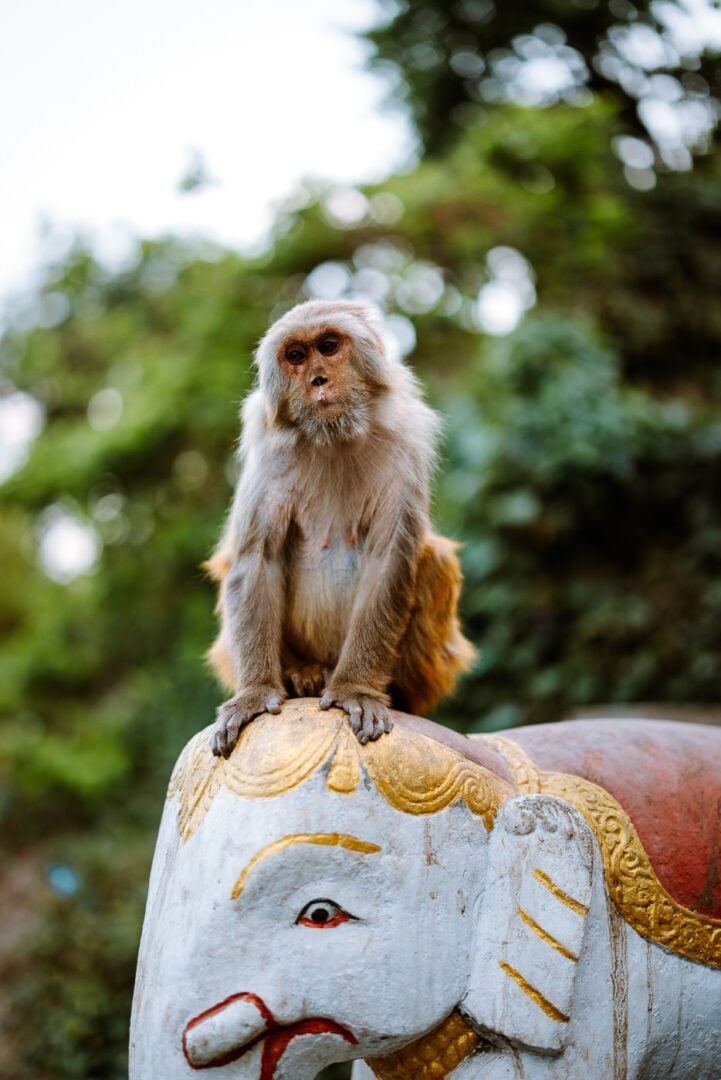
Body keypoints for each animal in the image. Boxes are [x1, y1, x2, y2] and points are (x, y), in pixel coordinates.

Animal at [206, 299, 475, 757]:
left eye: (329, 346)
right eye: (296, 356)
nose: (318, 378)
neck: (332, 438)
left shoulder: (404, 445)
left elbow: (390, 558)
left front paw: (356, 690)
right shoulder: (269, 450)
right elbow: (256, 558)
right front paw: (255, 693)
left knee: (435, 560)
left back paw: (392, 693)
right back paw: (302, 674)